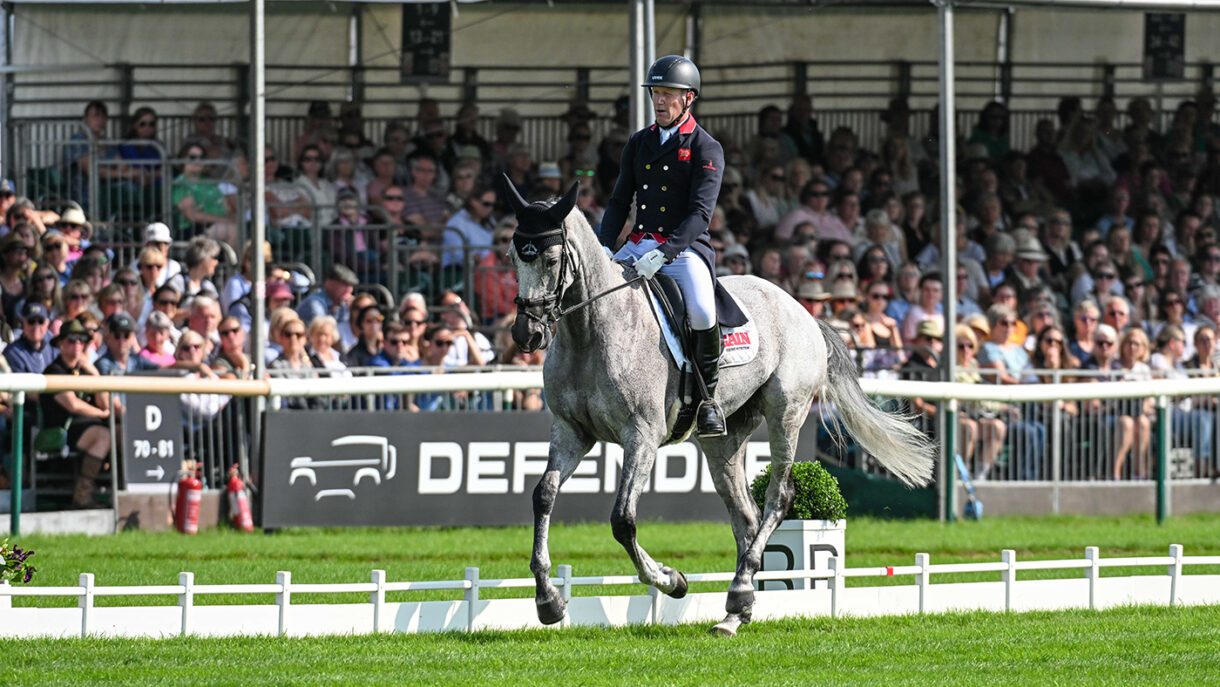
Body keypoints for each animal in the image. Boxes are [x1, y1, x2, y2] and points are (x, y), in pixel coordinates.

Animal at [506, 182, 935, 636]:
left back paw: (739, 594)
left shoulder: (641, 437)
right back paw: (737, 608)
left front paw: (672, 580)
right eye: (513, 256)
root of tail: (800, 308)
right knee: (745, 512)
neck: (590, 330)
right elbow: (543, 495)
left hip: (787, 412)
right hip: (724, 438)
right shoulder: (571, 433)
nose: (527, 333)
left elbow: (622, 518)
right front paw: (548, 600)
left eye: (552, 259)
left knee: (778, 497)